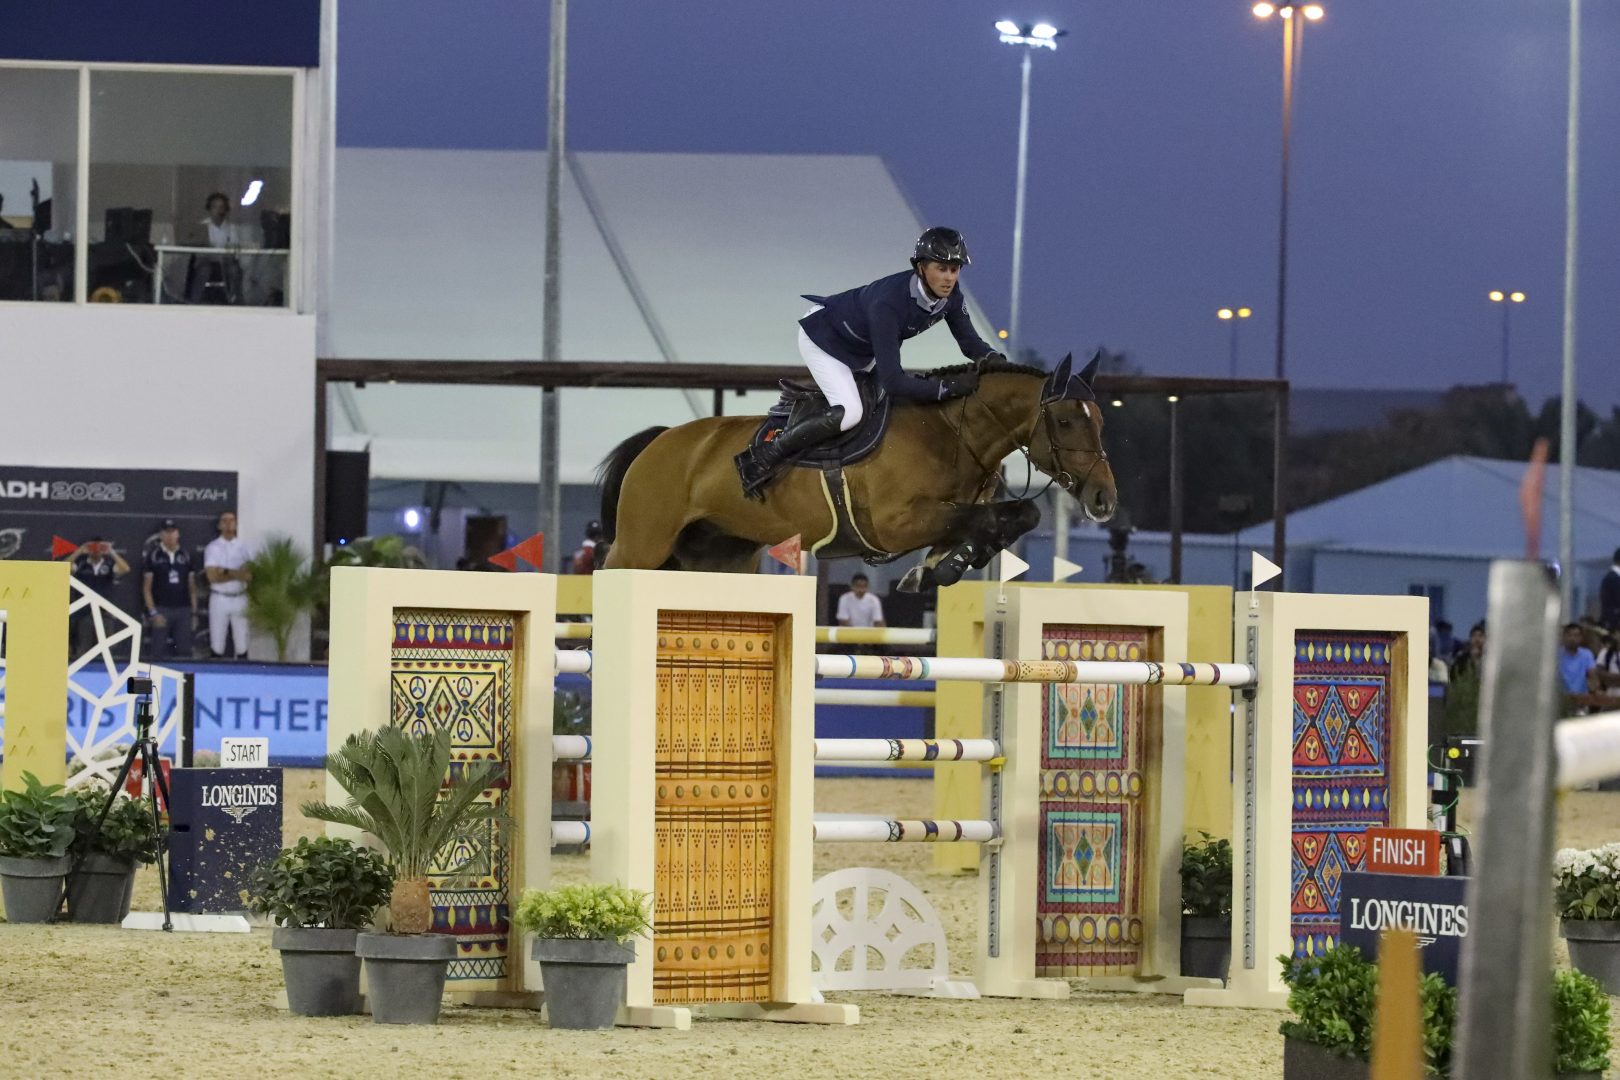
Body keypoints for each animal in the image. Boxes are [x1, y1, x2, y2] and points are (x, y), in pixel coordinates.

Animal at [596, 352, 1117, 586]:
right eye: (1066, 421)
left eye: (1101, 420)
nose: (1104, 499)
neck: (954, 432)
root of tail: (660, 440)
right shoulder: (895, 523)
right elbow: (987, 519)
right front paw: (946, 566)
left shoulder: (951, 512)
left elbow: (1015, 516)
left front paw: (944, 566)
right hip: (642, 547)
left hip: (723, 557)